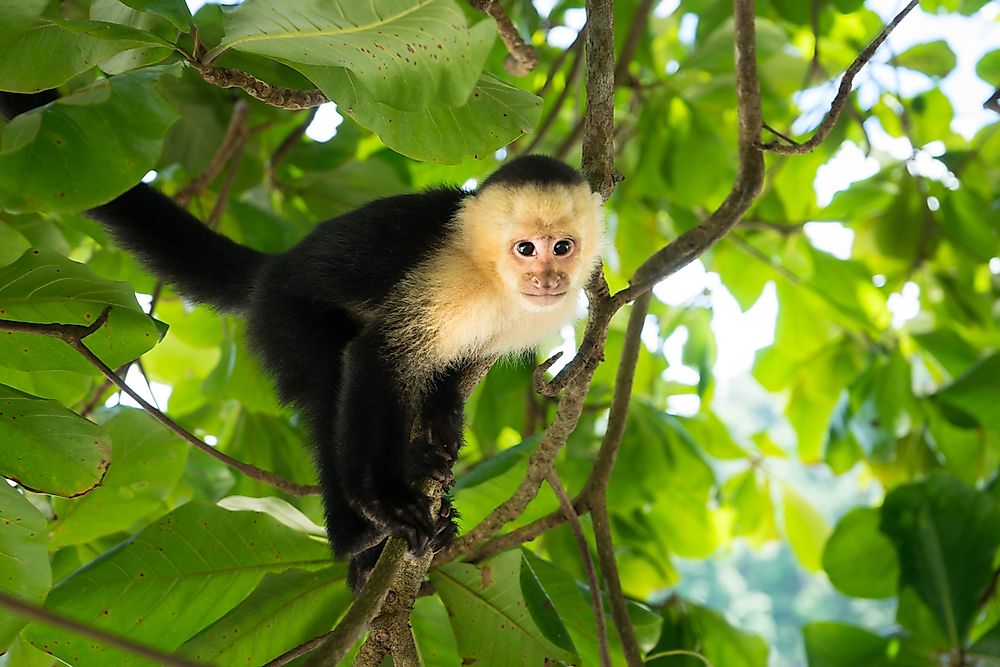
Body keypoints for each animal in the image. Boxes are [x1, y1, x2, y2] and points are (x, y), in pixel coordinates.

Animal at [0, 89, 606, 589]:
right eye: (525, 248)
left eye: (563, 246)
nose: (547, 279)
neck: (494, 279)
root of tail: (274, 268)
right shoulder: (449, 277)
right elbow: (379, 356)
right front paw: (388, 501)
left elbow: (451, 369)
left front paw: (440, 425)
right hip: (284, 317)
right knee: (330, 383)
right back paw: (357, 539)